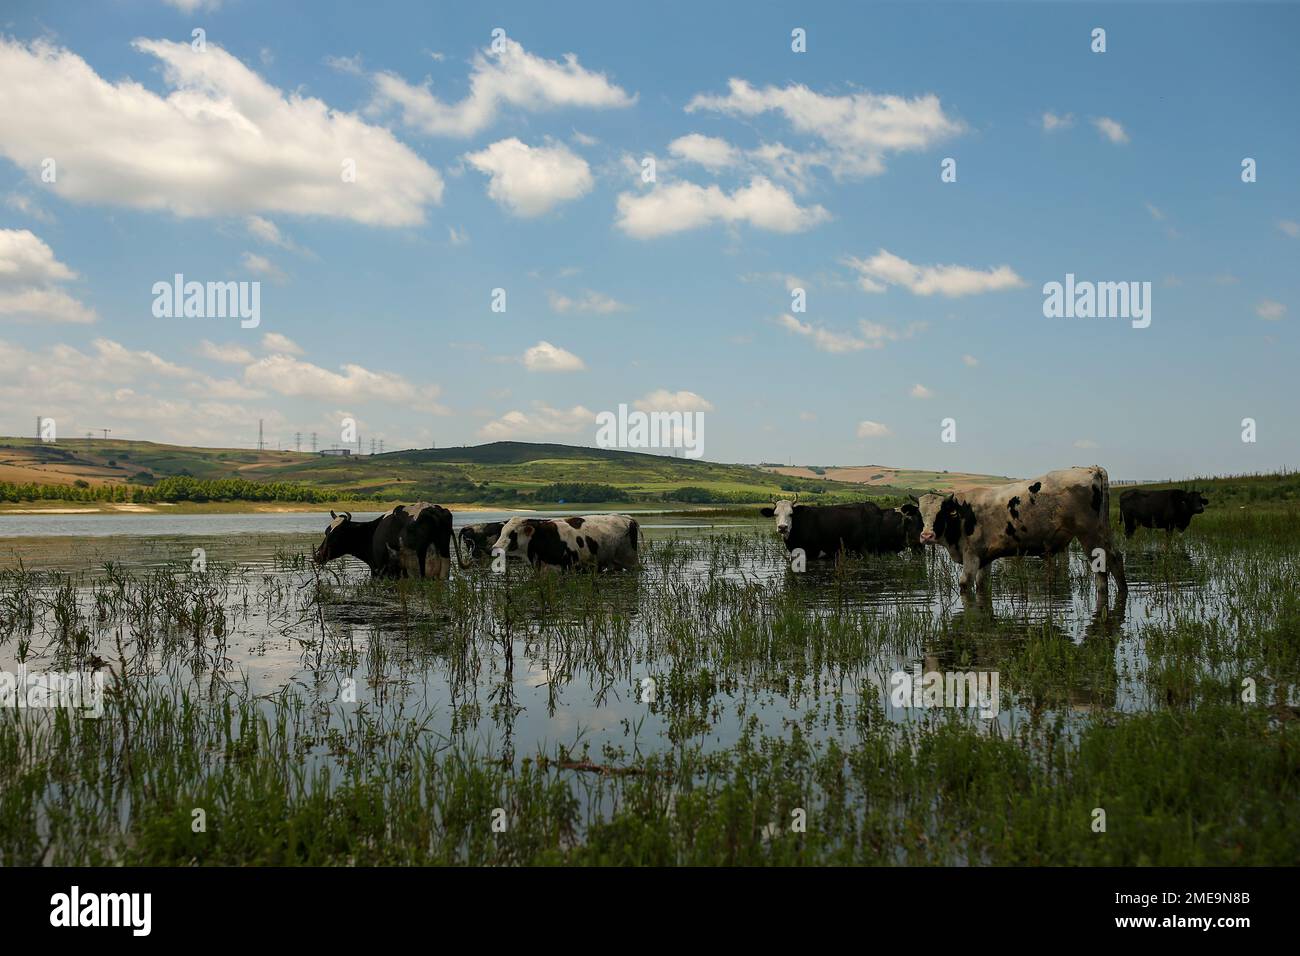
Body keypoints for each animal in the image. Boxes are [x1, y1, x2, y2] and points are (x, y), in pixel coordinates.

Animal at [491, 514, 639, 571]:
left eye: (512, 533)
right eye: (502, 531)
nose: (495, 547)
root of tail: (627, 518)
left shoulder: (569, 567)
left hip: (630, 561)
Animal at [914, 466, 1126, 599]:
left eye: (941, 513)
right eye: (921, 514)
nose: (926, 536)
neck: (963, 513)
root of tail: (1090, 468)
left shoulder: (971, 555)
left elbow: (965, 585)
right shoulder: (984, 558)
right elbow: (982, 586)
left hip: (1089, 535)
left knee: (1101, 568)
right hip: (1103, 531)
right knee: (1115, 558)